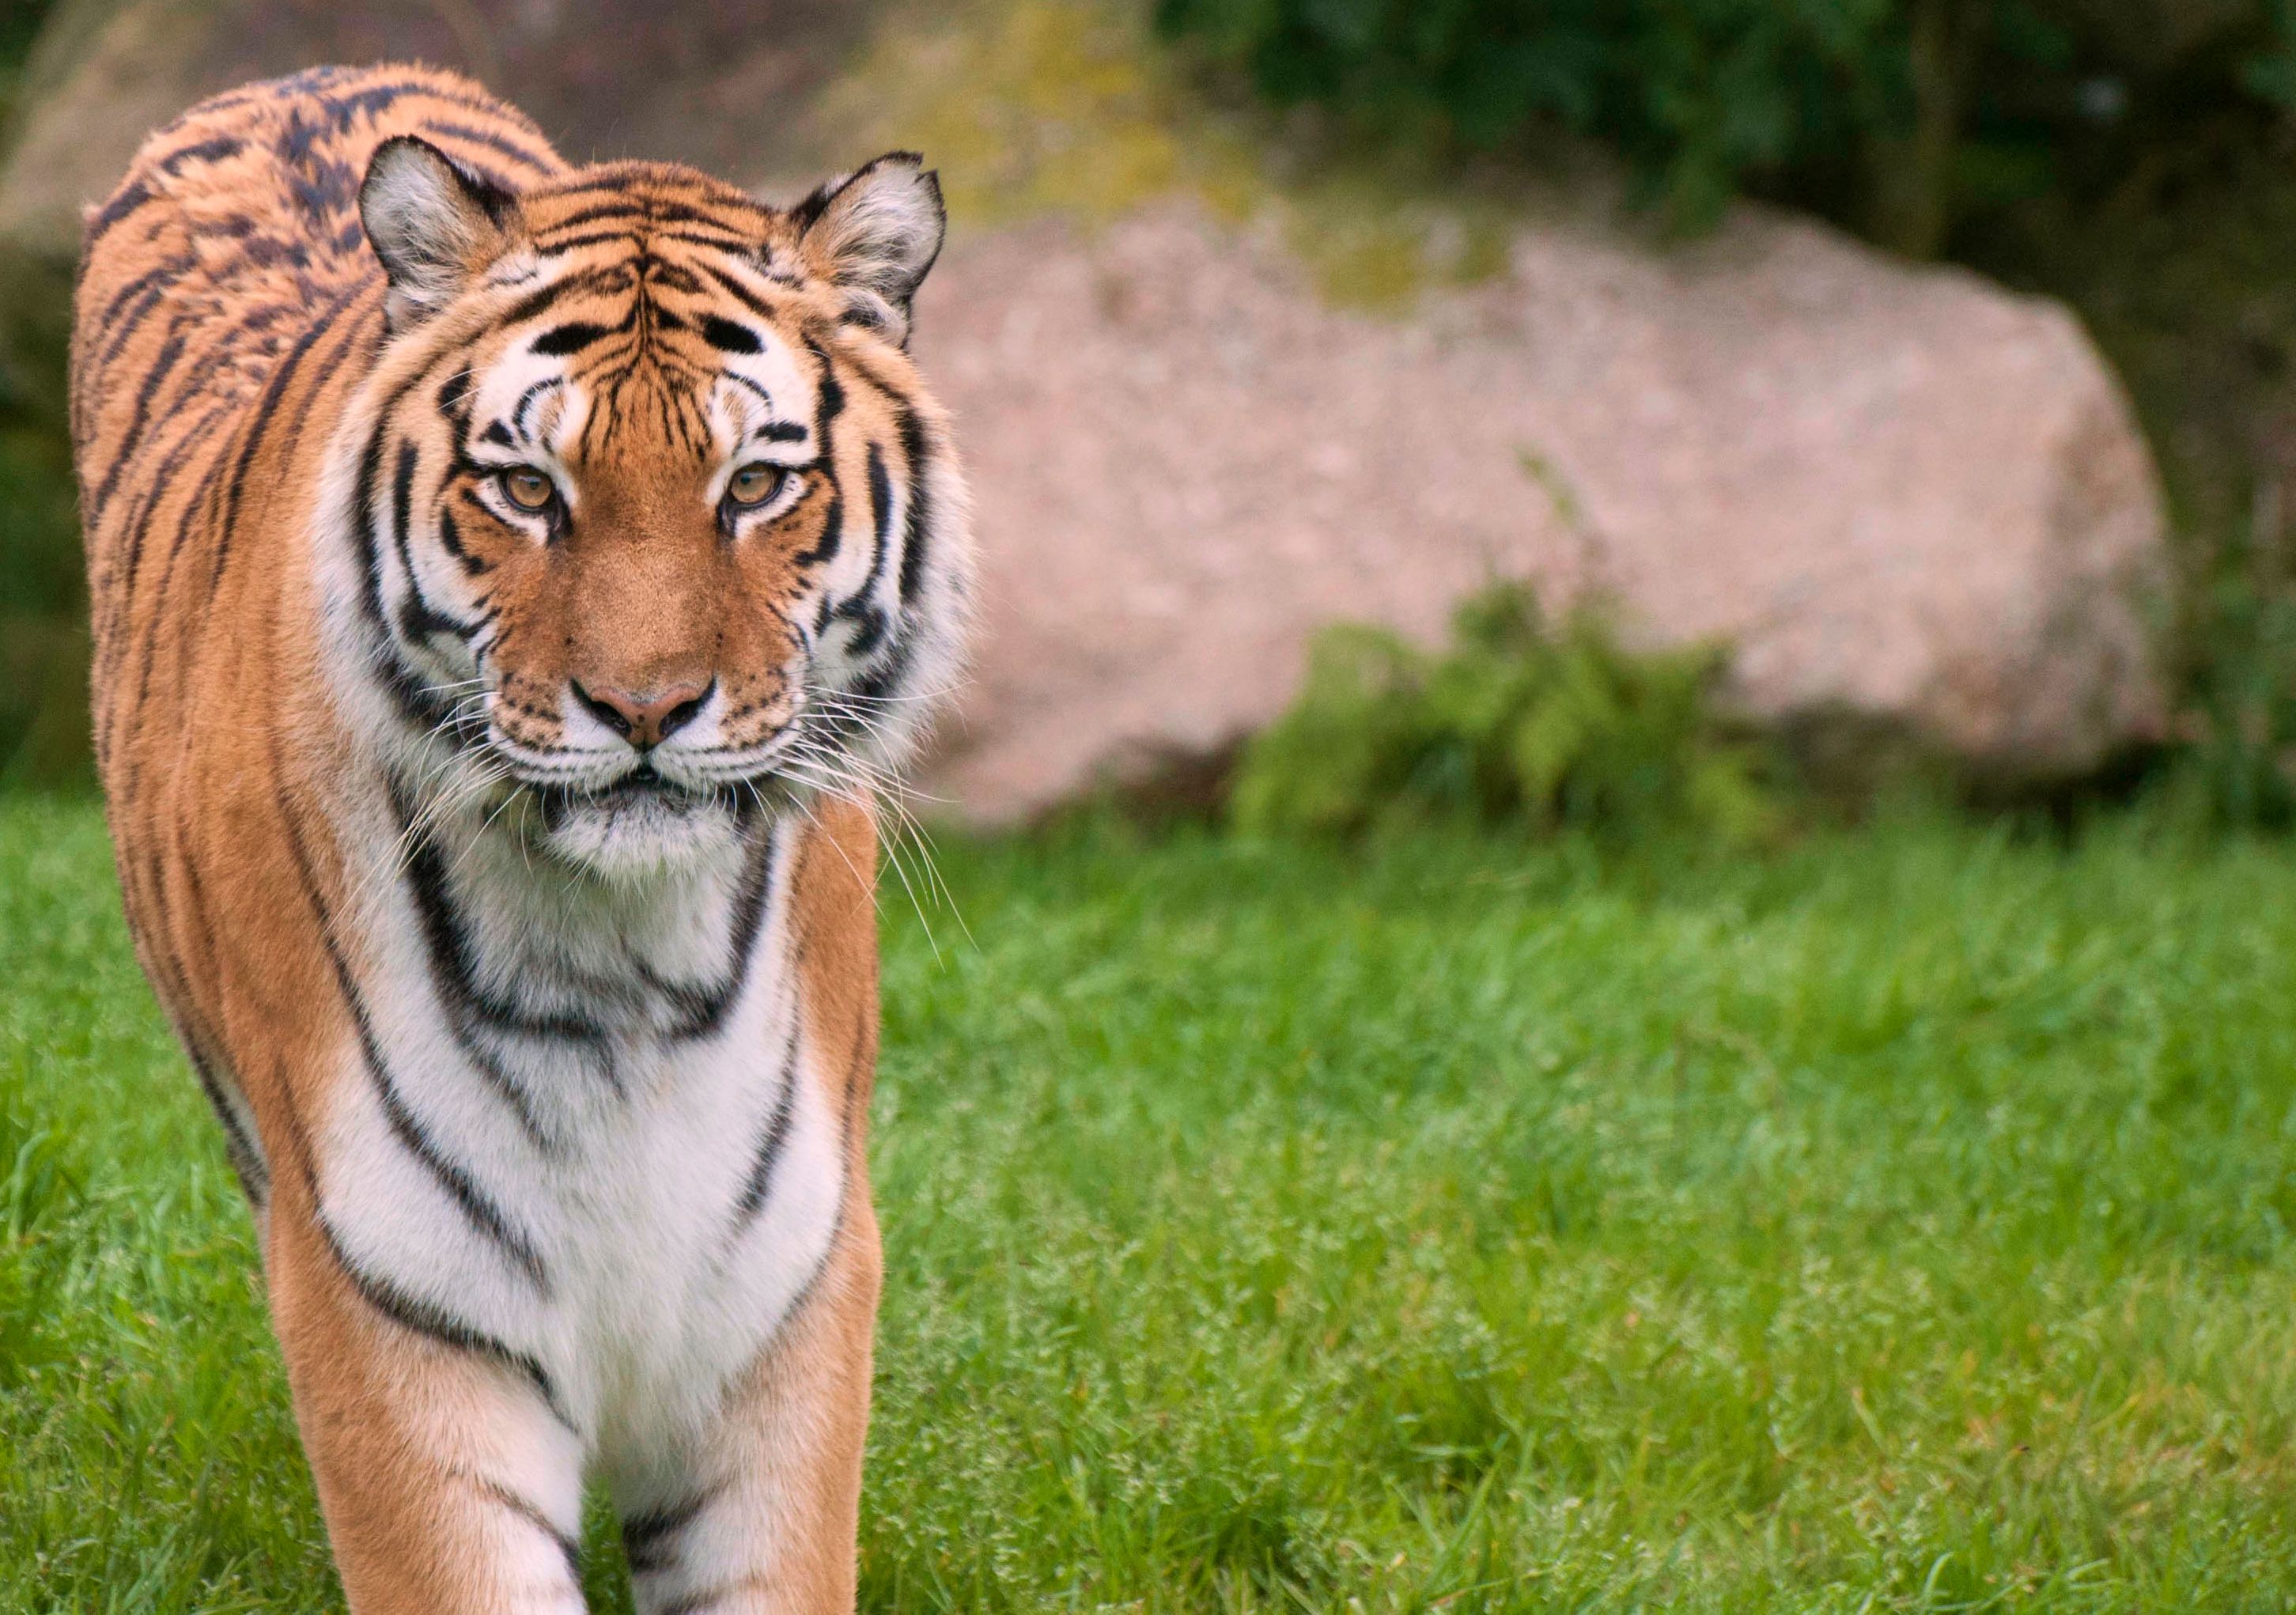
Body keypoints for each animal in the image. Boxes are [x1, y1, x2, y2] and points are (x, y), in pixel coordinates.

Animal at [70, 61, 972, 1613]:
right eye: (528, 489)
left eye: (753, 486)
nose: (645, 705)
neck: (623, 954)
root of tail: (296, 75)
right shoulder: (389, 1286)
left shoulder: (789, 1285)